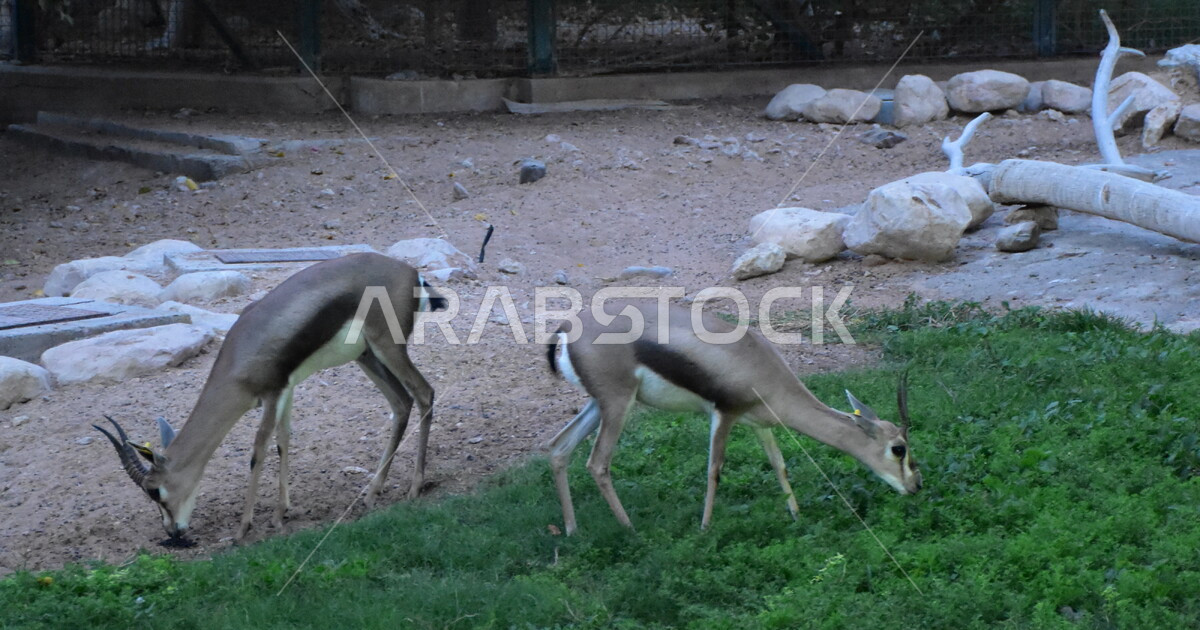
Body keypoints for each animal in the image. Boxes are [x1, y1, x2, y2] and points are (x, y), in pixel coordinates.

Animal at [94, 252, 447, 544]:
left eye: (154, 491)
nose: (173, 532)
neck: (240, 355)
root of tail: (412, 273)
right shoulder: (286, 391)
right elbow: (283, 441)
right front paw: (281, 514)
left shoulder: (272, 393)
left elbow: (258, 451)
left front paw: (243, 529)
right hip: (367, 356)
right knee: (401, 403)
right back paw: (373, 493)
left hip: (388, 348)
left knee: (424, 393)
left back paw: (414, 488)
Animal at [544, 300, 921, 535]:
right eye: (898, 449)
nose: (916, 486)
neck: (767, 372)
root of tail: (568, 326)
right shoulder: (723, 414)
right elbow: (714, 471)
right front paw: (705, 528)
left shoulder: (759, 424)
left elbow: (779, 464)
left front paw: (796, 515)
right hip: (618, 405)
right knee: (597, 463)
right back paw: (630, 529)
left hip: (599, 405)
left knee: (559, 447)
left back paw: (572, 530)